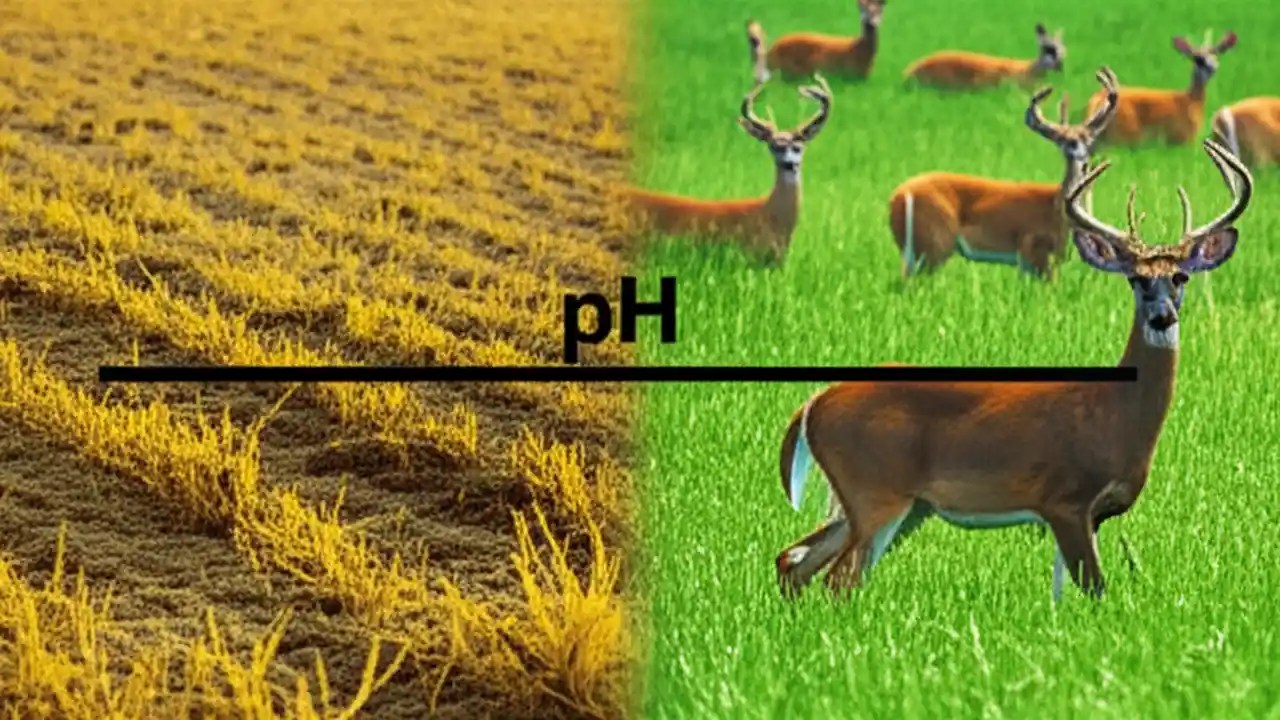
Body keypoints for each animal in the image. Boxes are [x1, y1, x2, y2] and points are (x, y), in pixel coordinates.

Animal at [746, 0, 885, 85]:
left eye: (879, 11)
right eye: (864, 10)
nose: (872, 23)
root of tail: (770, 52)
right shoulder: (849, 75)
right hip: (791, 70)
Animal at [772, 137, 1253, 603]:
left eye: (1181, 277)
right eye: (1136, 279)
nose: (1161, 317)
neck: (1115, 413)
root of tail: (813, 404)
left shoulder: (1091, 515)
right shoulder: (1064, 500)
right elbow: (1097, 590)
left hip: (891, 505)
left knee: (794, 561)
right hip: (876, 491)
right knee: (837, 580)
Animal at [888, 66, 1119, 279]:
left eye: (1087, 138)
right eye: (1060, 139)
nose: (1073, 146)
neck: (1058, 209)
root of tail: (897, 197)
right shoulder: (1033, 249)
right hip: (934, 243)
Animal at [1084, 30, 1237, 146]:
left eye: (1216, 55)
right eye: (1197, 59)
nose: (1213, 67)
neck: (1192, 101)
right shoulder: (1184, 138)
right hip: (1125, 132)